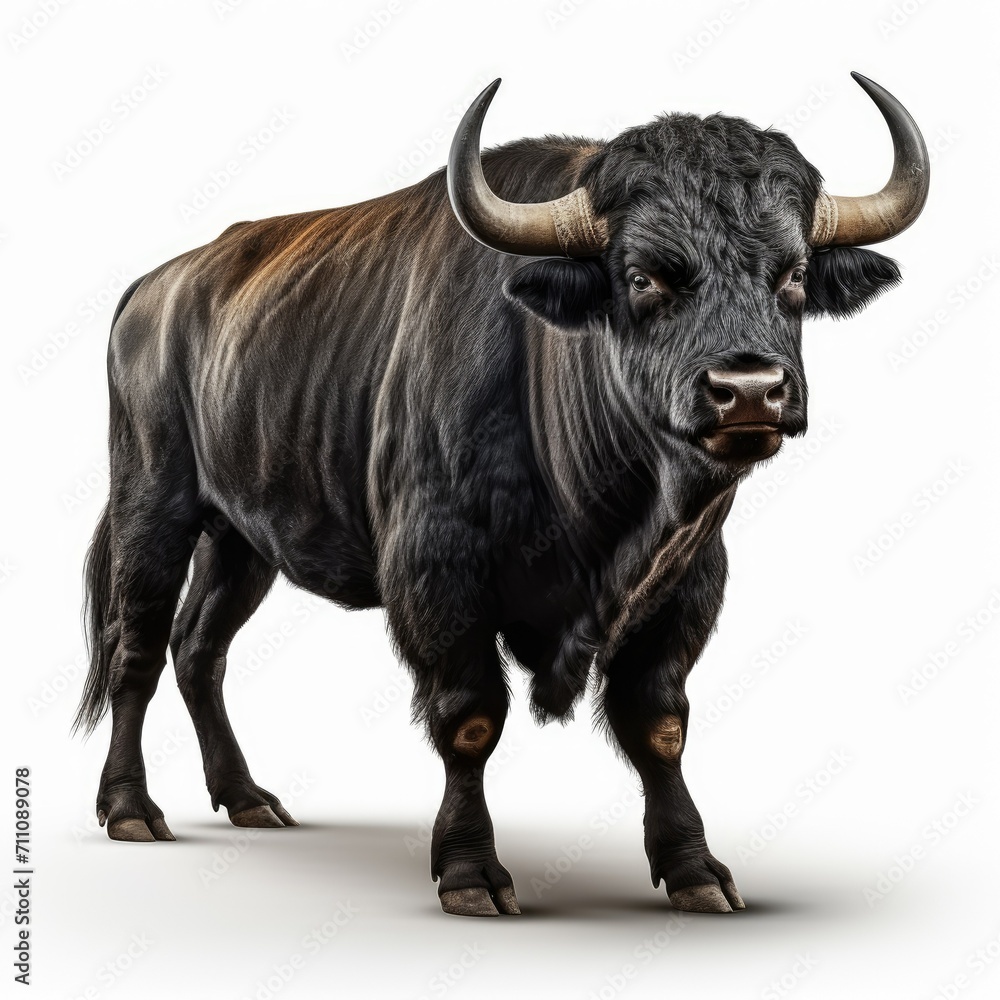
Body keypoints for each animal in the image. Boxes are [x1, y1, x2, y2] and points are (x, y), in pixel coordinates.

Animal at [75, 72, 928, 917]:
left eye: (793, 274)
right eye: (642, 276)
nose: (749, 391)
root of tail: (151, 291)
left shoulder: (688, 581)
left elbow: (658, 724)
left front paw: (694, 870)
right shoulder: (437, 575)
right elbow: (471, 720)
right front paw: (470, 872)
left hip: (242, 539)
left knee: (200, 648)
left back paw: (247, 797)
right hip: (152, 504)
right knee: (137, 647)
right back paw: (130, 809)